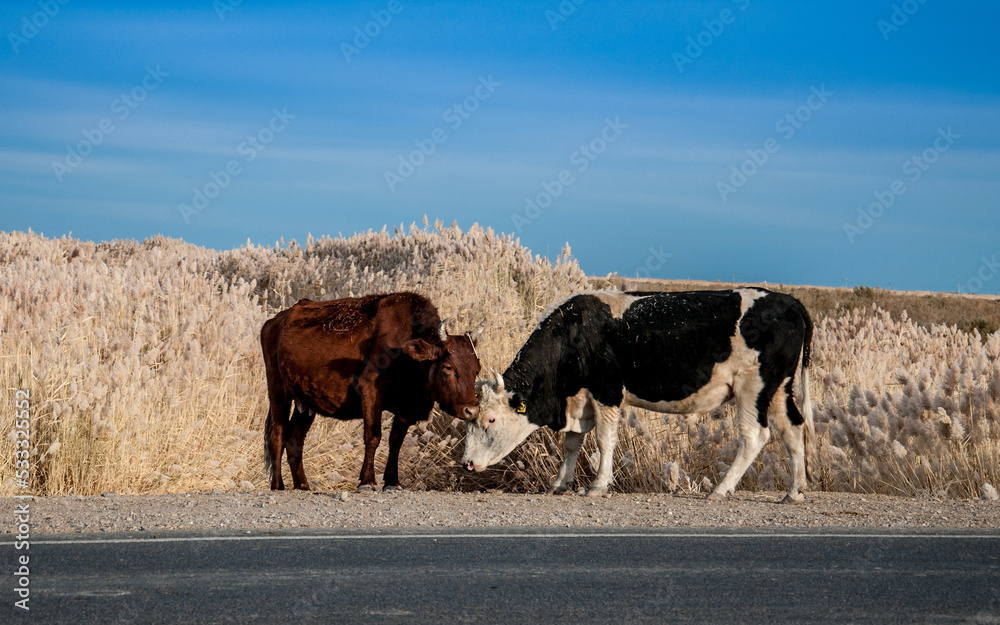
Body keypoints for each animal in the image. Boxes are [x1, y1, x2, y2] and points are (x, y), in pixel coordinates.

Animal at [261, 292, 482, 491]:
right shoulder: (371, 393)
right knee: (277, 436)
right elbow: (373, 437)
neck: (404, 349)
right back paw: (277, 485)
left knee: (294, 440)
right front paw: (367, 481)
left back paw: (303, 486)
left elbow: (395, 441)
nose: (471, 410)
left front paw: (392, 482)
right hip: (278, 392)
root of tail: (275, 321)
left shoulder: (406, 409)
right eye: (448, 367)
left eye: (476, 369)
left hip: (305, 403)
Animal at [463, 288, 816, 503]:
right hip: (779, 389)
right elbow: (572, 443)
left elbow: (605, 440)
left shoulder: (606, 391)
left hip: (752, 387)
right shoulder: (581, 400)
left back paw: (720, 489)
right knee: (793, 428)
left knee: (755, 435)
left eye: (490, 420)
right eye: (469, 420)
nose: (467, 463)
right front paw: (559, 483)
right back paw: (795, 491)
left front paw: (597, 486)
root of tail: (788, 301)